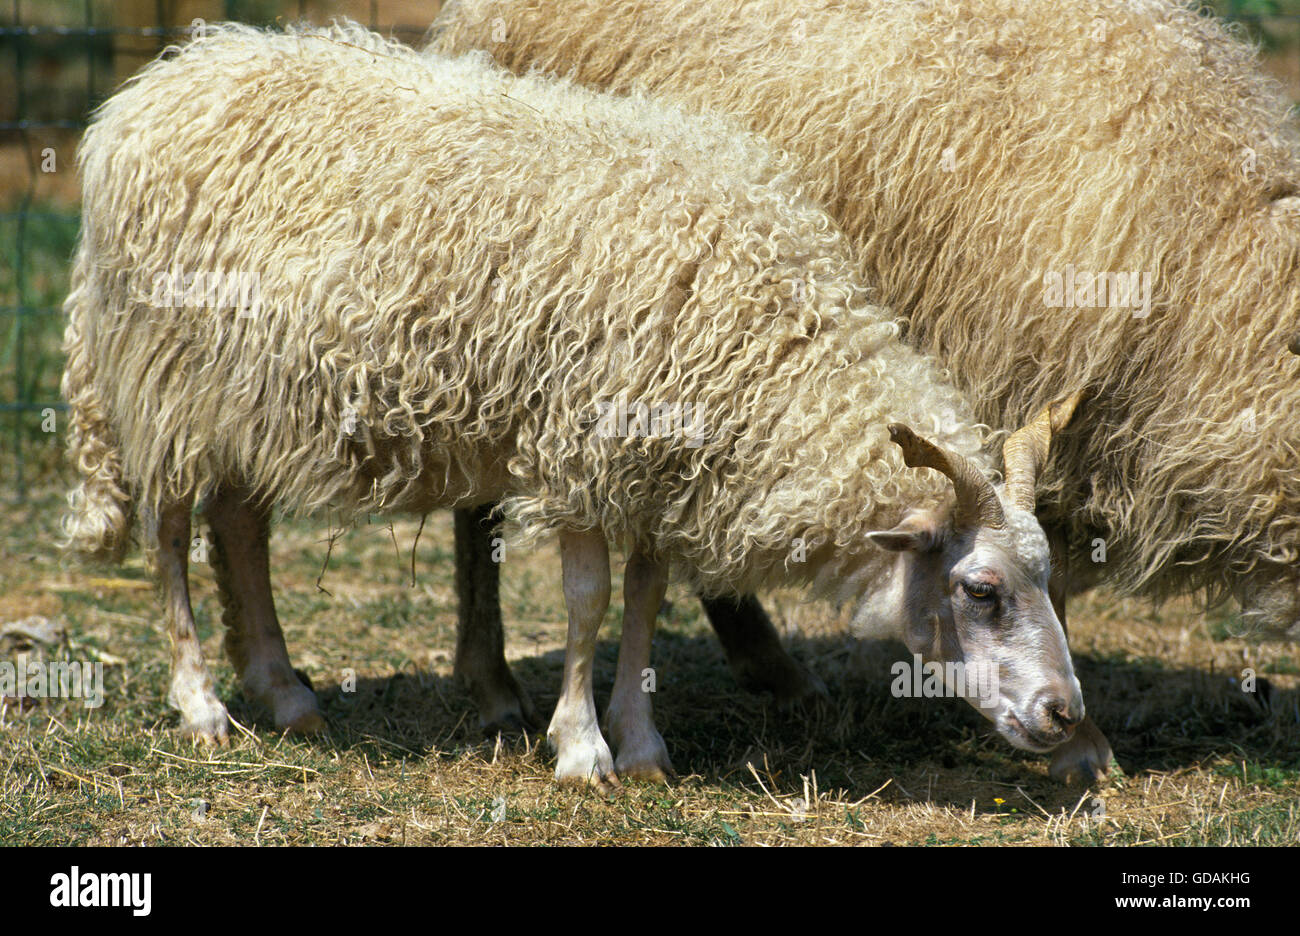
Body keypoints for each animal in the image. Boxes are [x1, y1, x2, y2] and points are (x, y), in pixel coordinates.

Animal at [61, 21, 1085, 787]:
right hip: (163, 377)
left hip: (252, 398)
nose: (1064, 713)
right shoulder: (583, 443)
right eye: (982, 591)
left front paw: (641, 742)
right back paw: (202, 704)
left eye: (1047, 576)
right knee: (169, 531)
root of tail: (162, 79)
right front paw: (582, 747)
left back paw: (285, 693)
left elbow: (645, 598)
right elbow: (588, 600)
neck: (765, 337)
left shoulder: (659, 463)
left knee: (238, 526)